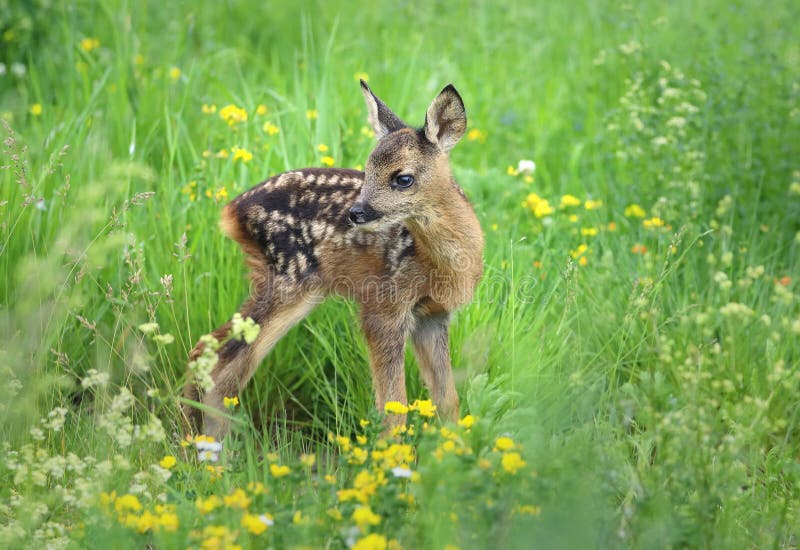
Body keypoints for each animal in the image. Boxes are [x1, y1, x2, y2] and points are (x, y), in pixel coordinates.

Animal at [183, 80, 484, 439]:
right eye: (367, 170)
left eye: (403, 178)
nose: (356, 213)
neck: (444, 264)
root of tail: (231, 213)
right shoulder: (383, 305)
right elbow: (394, 407)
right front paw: (392, 454)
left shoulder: (433, 315)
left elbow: (447, 399)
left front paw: (455, 449)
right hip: (290, 281)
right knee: (223, 367)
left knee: (208, 351)